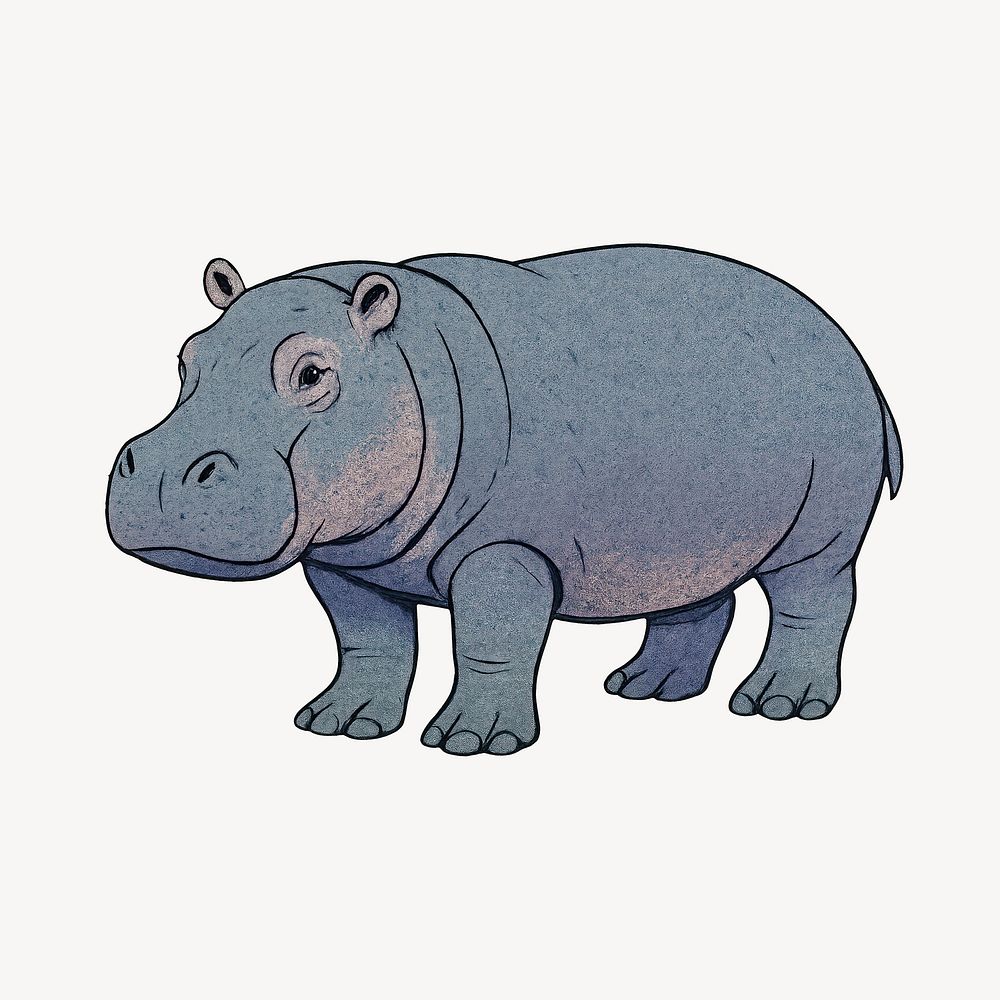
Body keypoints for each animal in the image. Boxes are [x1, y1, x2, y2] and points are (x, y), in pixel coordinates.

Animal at [107, 245, 902, 755]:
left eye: (311, 371)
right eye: (186, 358)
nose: (161, 470)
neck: (404, 361)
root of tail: (851, 344)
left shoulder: (505, 550)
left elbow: (490, 639)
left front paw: (469, 743)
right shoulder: (346, 560)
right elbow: (368, 640)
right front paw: (340, 726)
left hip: (822, 526)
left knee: (813, 599)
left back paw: (778, 707)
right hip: (687, 522)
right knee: (698, 595)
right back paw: (645, 690)